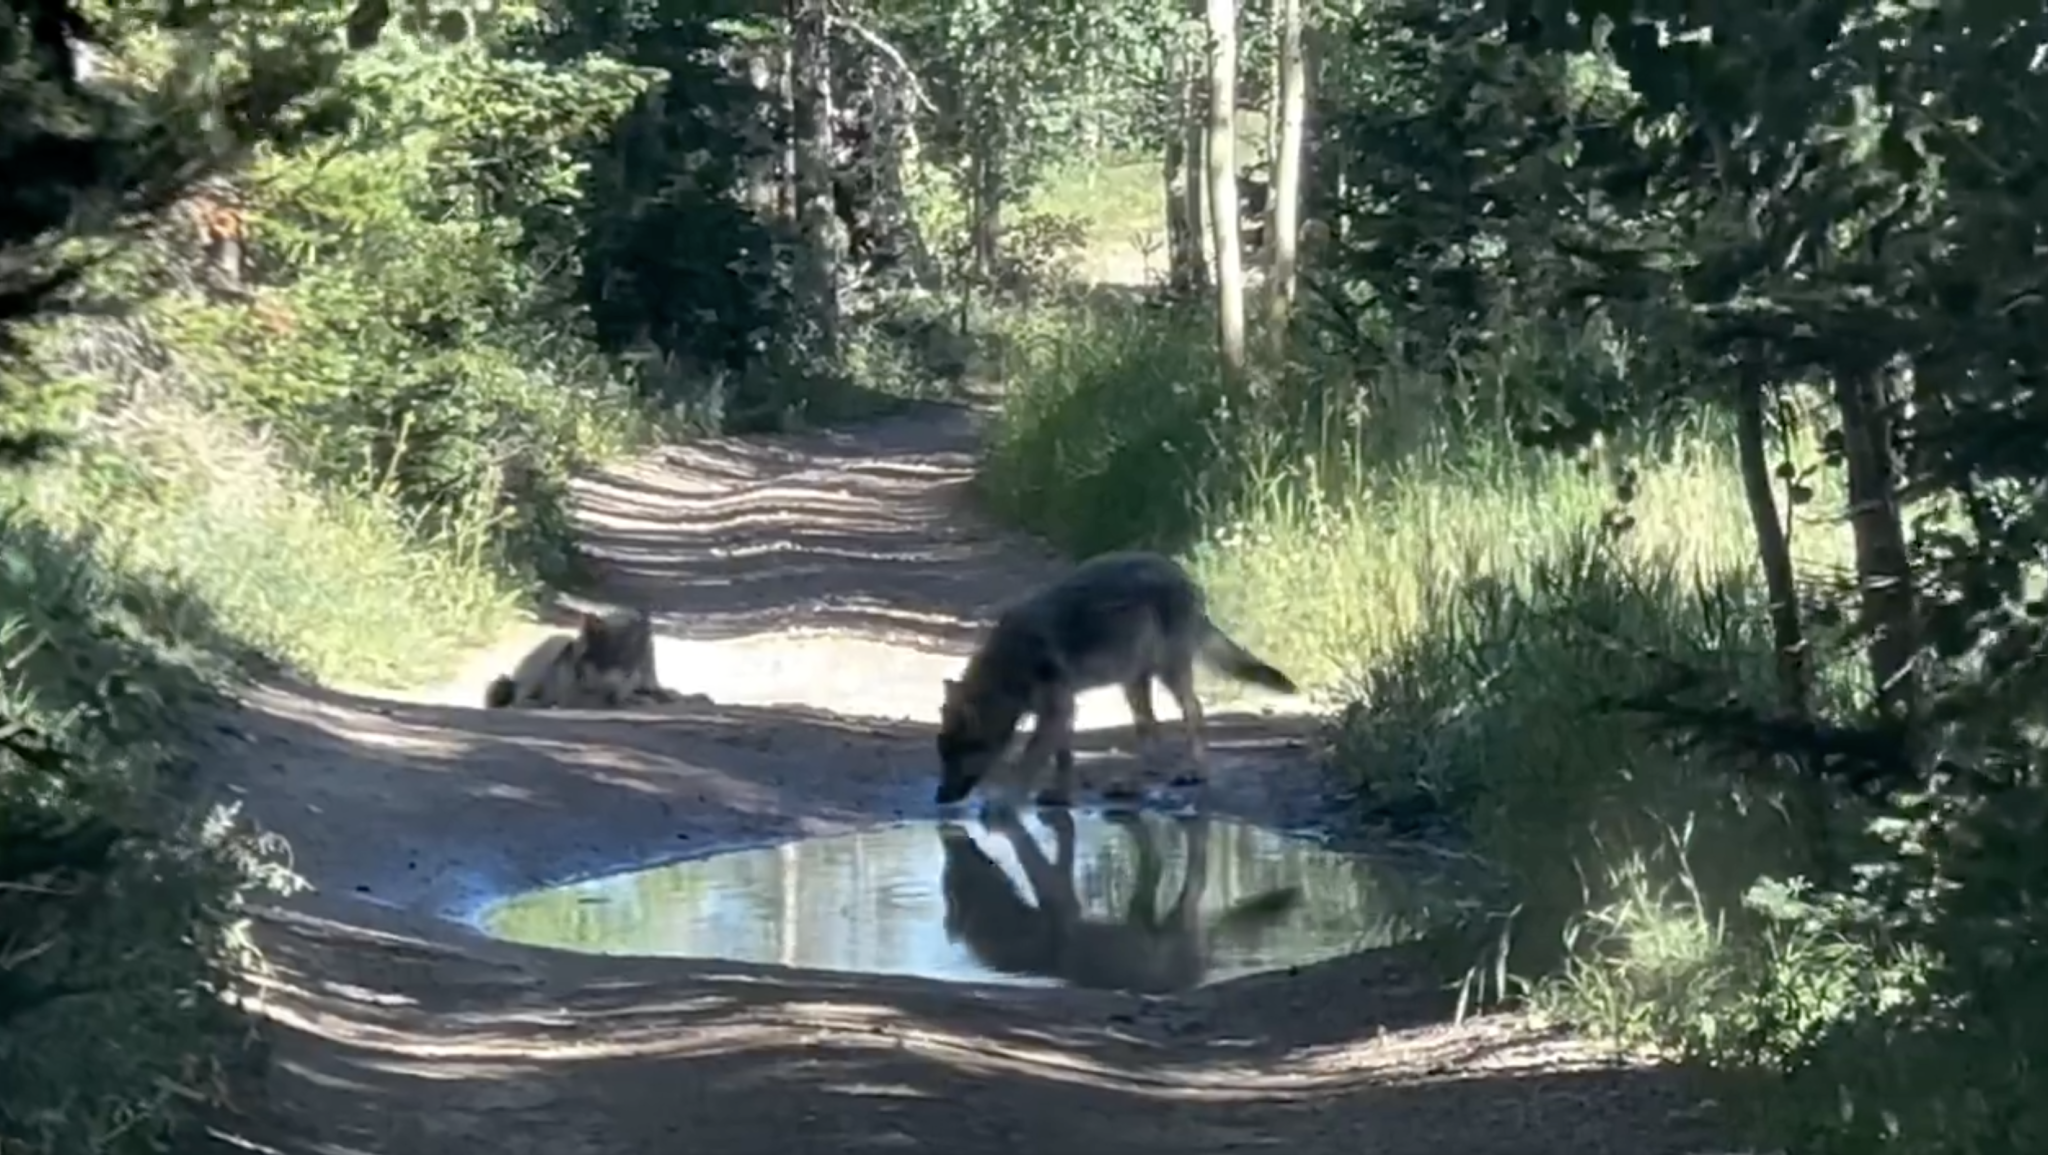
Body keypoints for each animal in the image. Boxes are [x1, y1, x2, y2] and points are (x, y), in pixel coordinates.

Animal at [935, 550, 1299, 808]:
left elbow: (1028, 763)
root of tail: (1185, 576)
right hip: (1133, 683)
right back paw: (1131, 787)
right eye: (943, 754)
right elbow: (1063, 758)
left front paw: (1005, 805)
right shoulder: (1062, 710)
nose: (939, 799)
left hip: (1168, 674)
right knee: (1151, 730)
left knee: (1193, 713)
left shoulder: (1056, 710)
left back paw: (1194, 773)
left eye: (956, 755)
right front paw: (1061, 796)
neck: (1008, 670)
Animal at [937, 808, 1303, 994]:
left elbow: (1047, 849)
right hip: (1157, 920)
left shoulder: (1060, 902)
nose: (949, 830)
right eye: (951, 877)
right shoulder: (1061, 901)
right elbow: (1040, 853)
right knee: (1173, 869)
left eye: (986, 861)